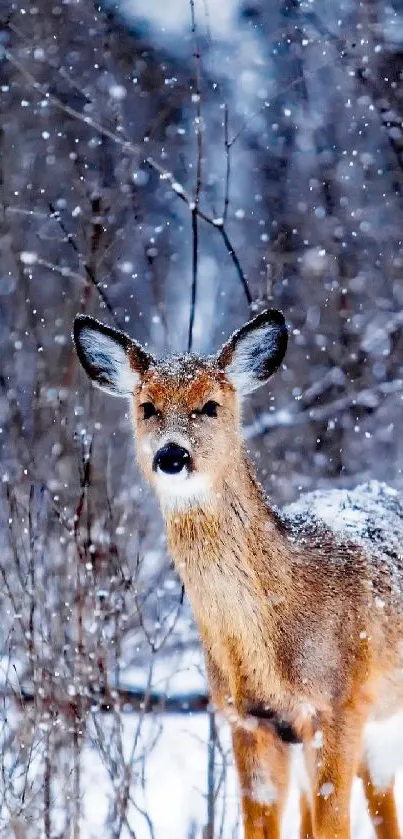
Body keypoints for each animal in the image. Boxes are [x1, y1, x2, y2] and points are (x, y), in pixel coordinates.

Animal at [73, 308, 403, 839]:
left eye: (210, 405)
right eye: (147, 407)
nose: (171, 455)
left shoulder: (340, 705)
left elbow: (334, 826)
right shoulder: (247, 720)